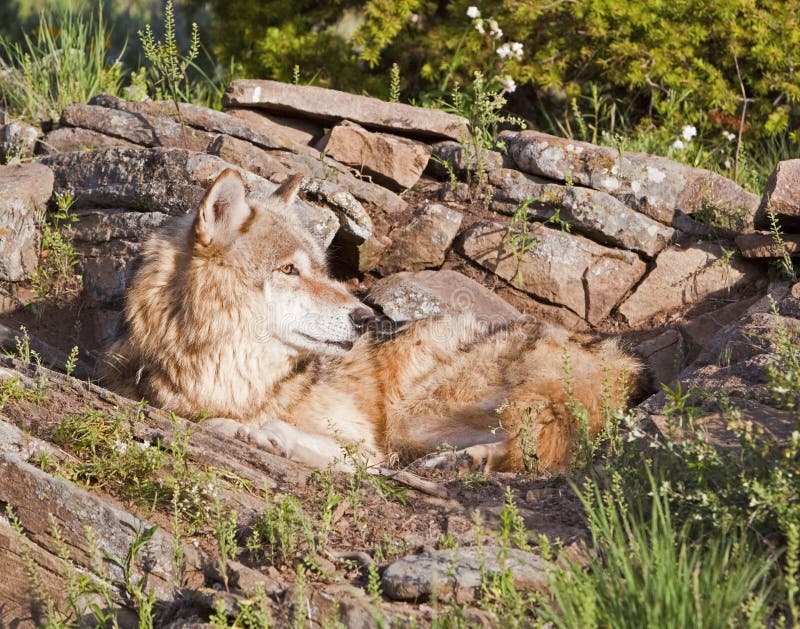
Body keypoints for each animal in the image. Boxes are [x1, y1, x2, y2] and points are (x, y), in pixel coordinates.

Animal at [102, 169, 640, 472]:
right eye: (289, 271)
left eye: (322, 269)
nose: (365, 318)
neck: (230, 374)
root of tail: (620, 362)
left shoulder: (363, 434)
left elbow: (354, 454)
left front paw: (267, 434)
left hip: (418, 410)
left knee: (530, 452)